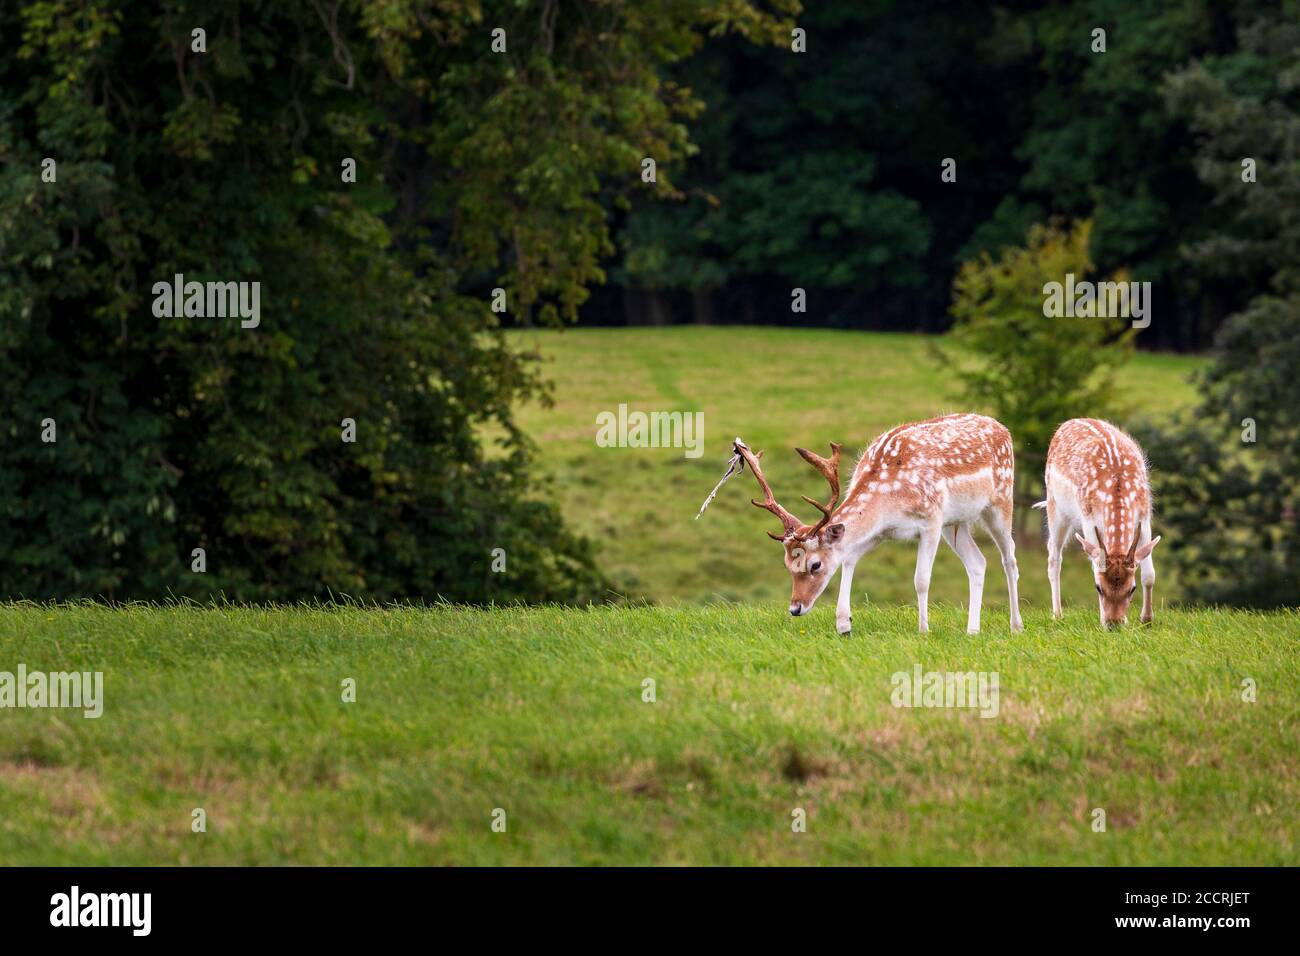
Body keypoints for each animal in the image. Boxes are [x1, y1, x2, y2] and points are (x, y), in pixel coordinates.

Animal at [697, 413, 1022, 635]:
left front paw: (923, 630)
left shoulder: (930, 519)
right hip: (956, 522)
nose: (795, 608)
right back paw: (972, 630)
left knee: (1010, 557)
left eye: (814, 564)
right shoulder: (881, 532)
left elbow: (921, 579)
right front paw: (844, 624)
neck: (889, 498)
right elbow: (849, 558)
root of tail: (1003, 428)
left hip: (1000, 501)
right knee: (978, 563)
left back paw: (1016, 625)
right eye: (788, 565)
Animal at [1036, 418, 1161, 628]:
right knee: (1054, 555)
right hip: (1055, 504)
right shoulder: (1088, 518)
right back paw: (1057, 614)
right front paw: (1103, 619)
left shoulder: (1144, 515)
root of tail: (1066, 423)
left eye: (1132, 588)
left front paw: (1146, 620)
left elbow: (1149, 574)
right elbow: (1095, 566)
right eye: (1098, 588)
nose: (1114, 624)